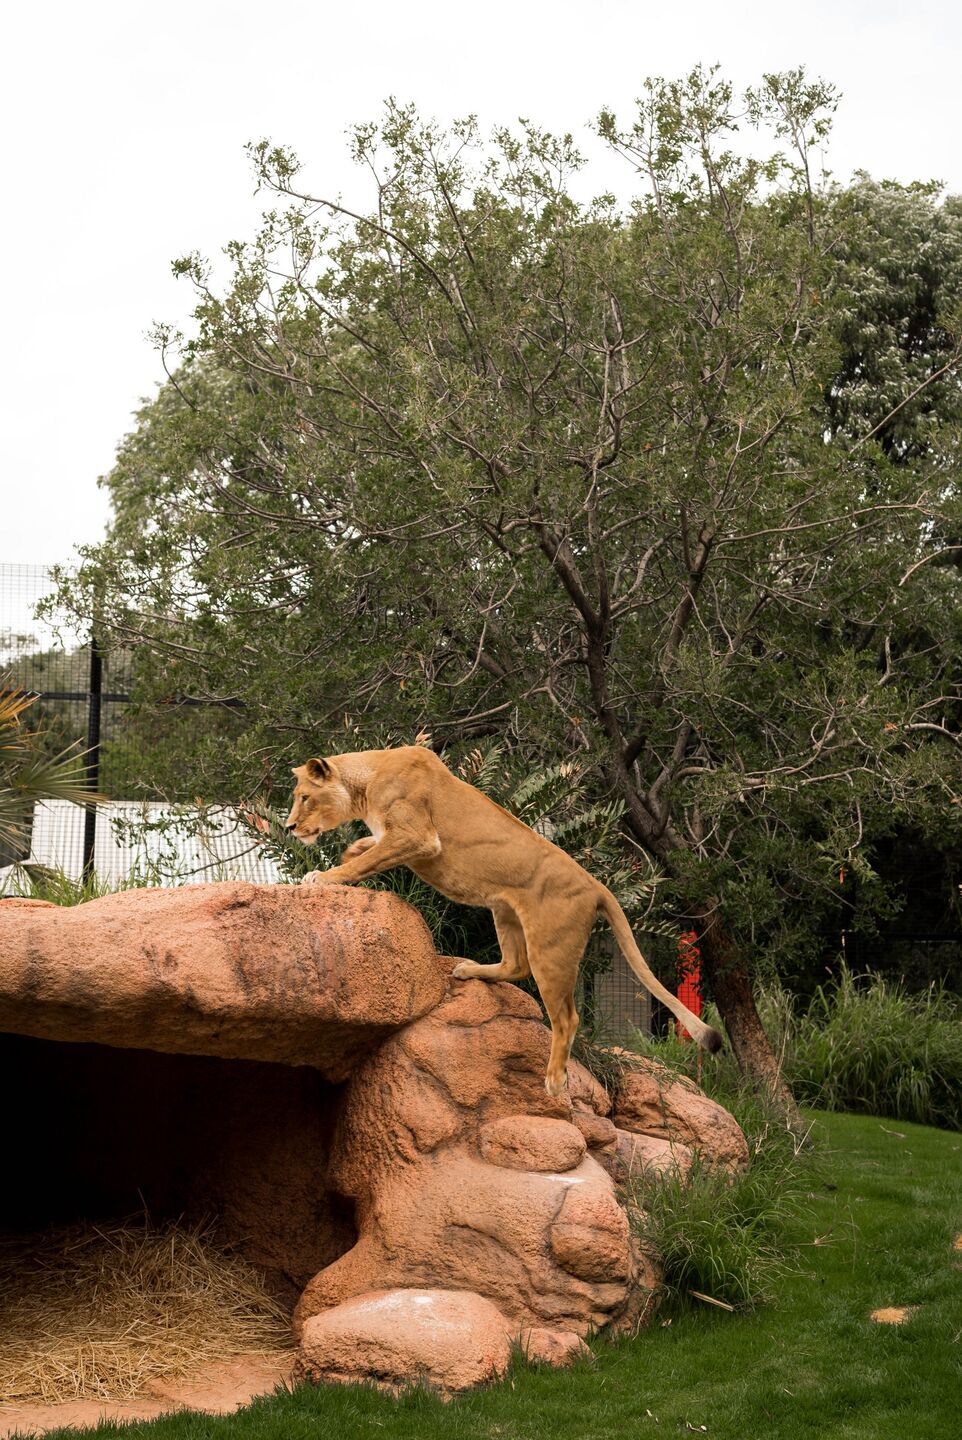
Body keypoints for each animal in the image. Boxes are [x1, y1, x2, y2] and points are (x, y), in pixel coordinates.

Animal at [286, 745, 722, 1094]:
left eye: (304, 797)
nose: (289, 827)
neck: (366, 780)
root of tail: (597, 885)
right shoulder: (398, 837)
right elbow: (366, 849)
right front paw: (347, 853)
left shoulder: (419, 837)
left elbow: (367, 860)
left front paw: (323, 876)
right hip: (504, 912)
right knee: (515, 965)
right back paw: (469, 970)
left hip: (551, 946)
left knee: (566, 1015)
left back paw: (554, 1080)